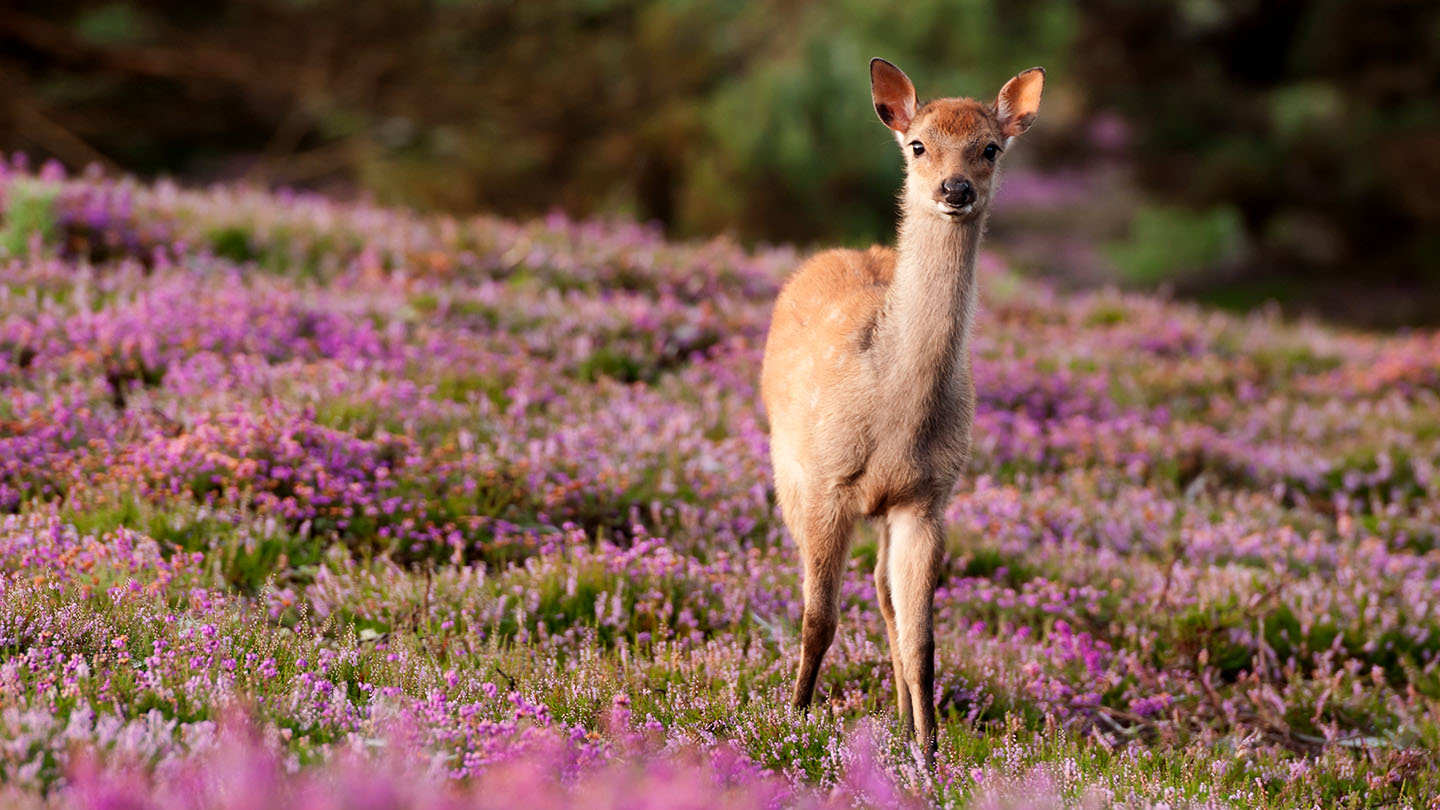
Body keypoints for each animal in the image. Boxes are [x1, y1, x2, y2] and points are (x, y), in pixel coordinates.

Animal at [759, 58, 1044, 764]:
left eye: (990, 148)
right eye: (918, 145)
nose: (955, 188)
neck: (893, 416)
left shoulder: (929, 498)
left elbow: (923, 637)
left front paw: (929, 749)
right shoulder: (827, 481)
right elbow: (818, 617)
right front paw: (793, 721)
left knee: (886, 595)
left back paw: (901, 717)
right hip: (786, 467)